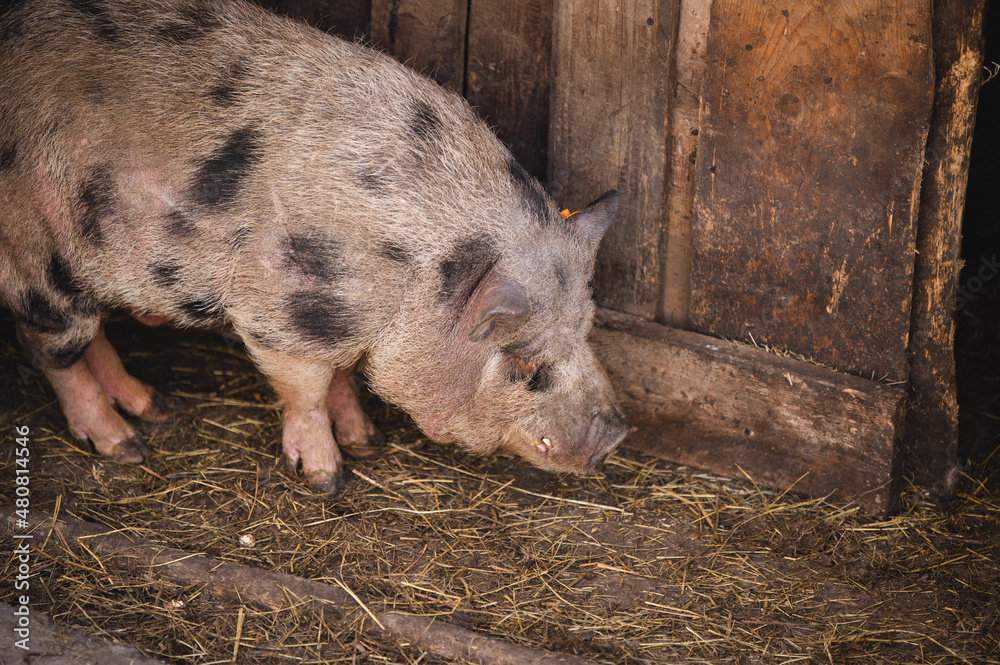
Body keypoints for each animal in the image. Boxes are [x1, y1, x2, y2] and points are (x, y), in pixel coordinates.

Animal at [0, 0, 630, 493]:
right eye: (527, 365)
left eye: (587, 327)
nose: (619, 433)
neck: (411, 270)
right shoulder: (281, 311)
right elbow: (308, 389)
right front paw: (330, 478)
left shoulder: (339, 316)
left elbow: (343, 376)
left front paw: (368, 442)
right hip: (38, 256)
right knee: (50, 347)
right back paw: (128, 447)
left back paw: (156, 407)